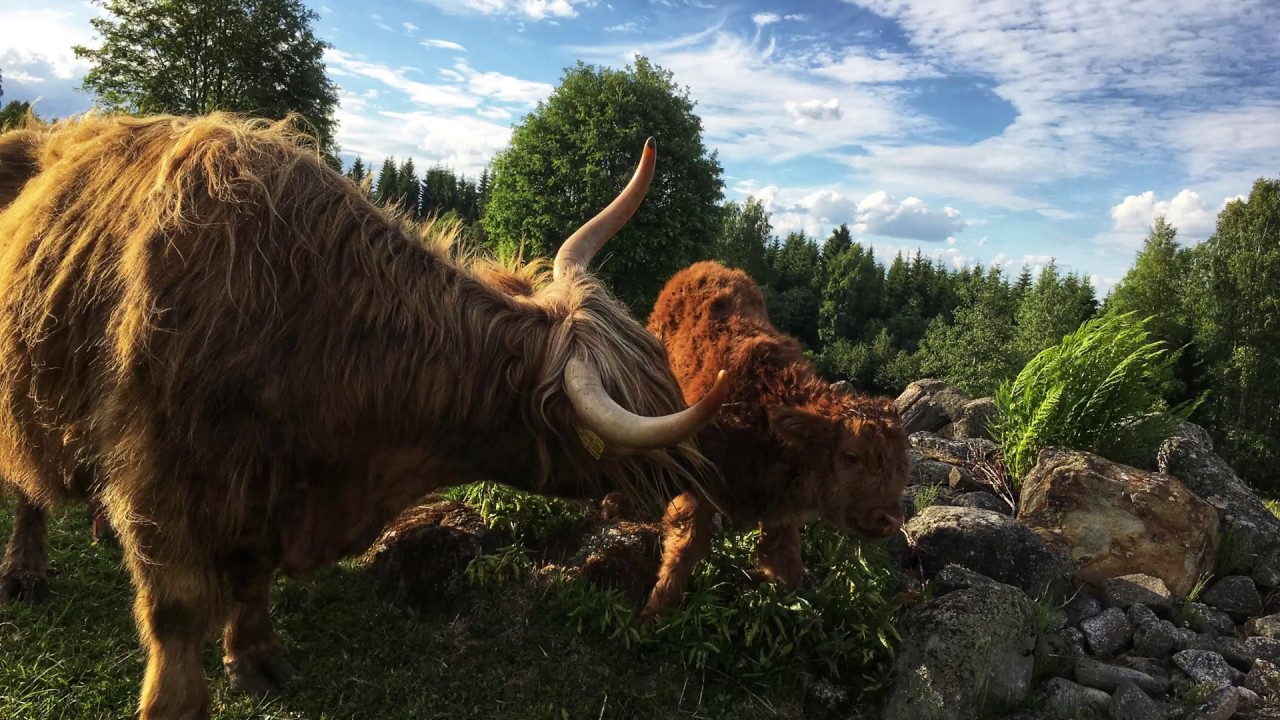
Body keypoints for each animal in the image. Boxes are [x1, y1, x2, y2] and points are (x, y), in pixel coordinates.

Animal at [0, 112, 729, 720]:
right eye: (638, 410)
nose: (704, 481)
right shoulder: (161, 481)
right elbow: (174, 611)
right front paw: (174, 703)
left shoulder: (271, 492)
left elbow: (253, 579)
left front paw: (257, 660)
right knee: (27, 487)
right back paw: (26, 574)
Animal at [638, 260, 909, 622]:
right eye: (850, 456)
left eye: (901, 464)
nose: (890, 518)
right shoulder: (696, 486)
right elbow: (685, 546)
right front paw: (654, 611)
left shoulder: (781, 513)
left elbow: (784, 560)